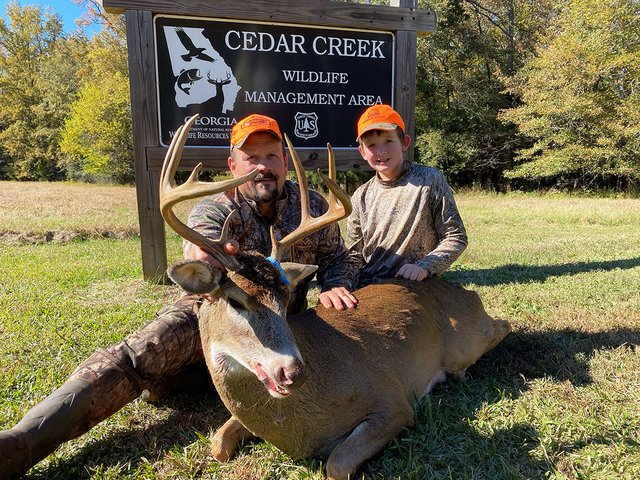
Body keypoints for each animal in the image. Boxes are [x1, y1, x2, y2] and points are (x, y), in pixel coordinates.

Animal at [159, 115, 511, 480]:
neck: (299, 429)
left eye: (284, 301)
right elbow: (217, 444)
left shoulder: (393, 401)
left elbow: (337, 464)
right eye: (235, 301)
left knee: (503, 325)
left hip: (464, 342)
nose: (292, 372)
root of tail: (464, 292)